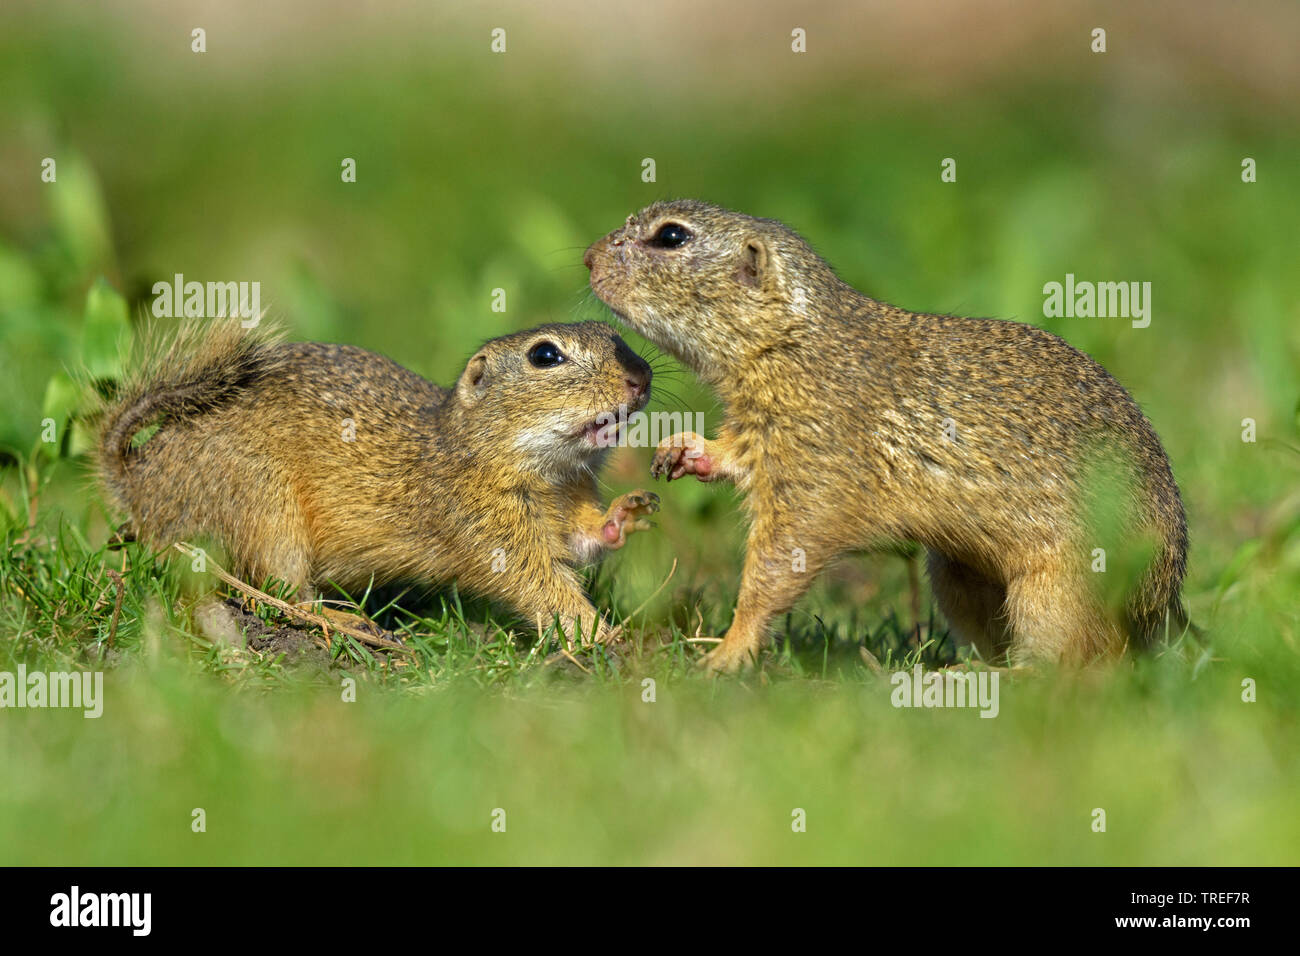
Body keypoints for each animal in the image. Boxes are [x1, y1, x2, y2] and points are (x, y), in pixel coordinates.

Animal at [95, 319, 659, 643]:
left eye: (614, 333)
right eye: (545, 355)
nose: (642, 376)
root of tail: (142, 479)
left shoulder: (569, 505)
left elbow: (585, 540)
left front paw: (629, 513)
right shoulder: (490, 530)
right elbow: (541, 585)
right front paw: (599, 634)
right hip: (265, 515)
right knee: (275, 595)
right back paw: (345, 621)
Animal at [584, 200, 1189, 672]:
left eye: (671, 236)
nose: (588, 257)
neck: (798, 346)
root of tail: (1163, 604)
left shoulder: (817, 462)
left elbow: (778, 564)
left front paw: (726, 653)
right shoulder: (767, 436)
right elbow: (736, 456)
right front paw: (683, 450)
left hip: (1057, 593)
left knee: (1085, 662)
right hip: (958, 577)